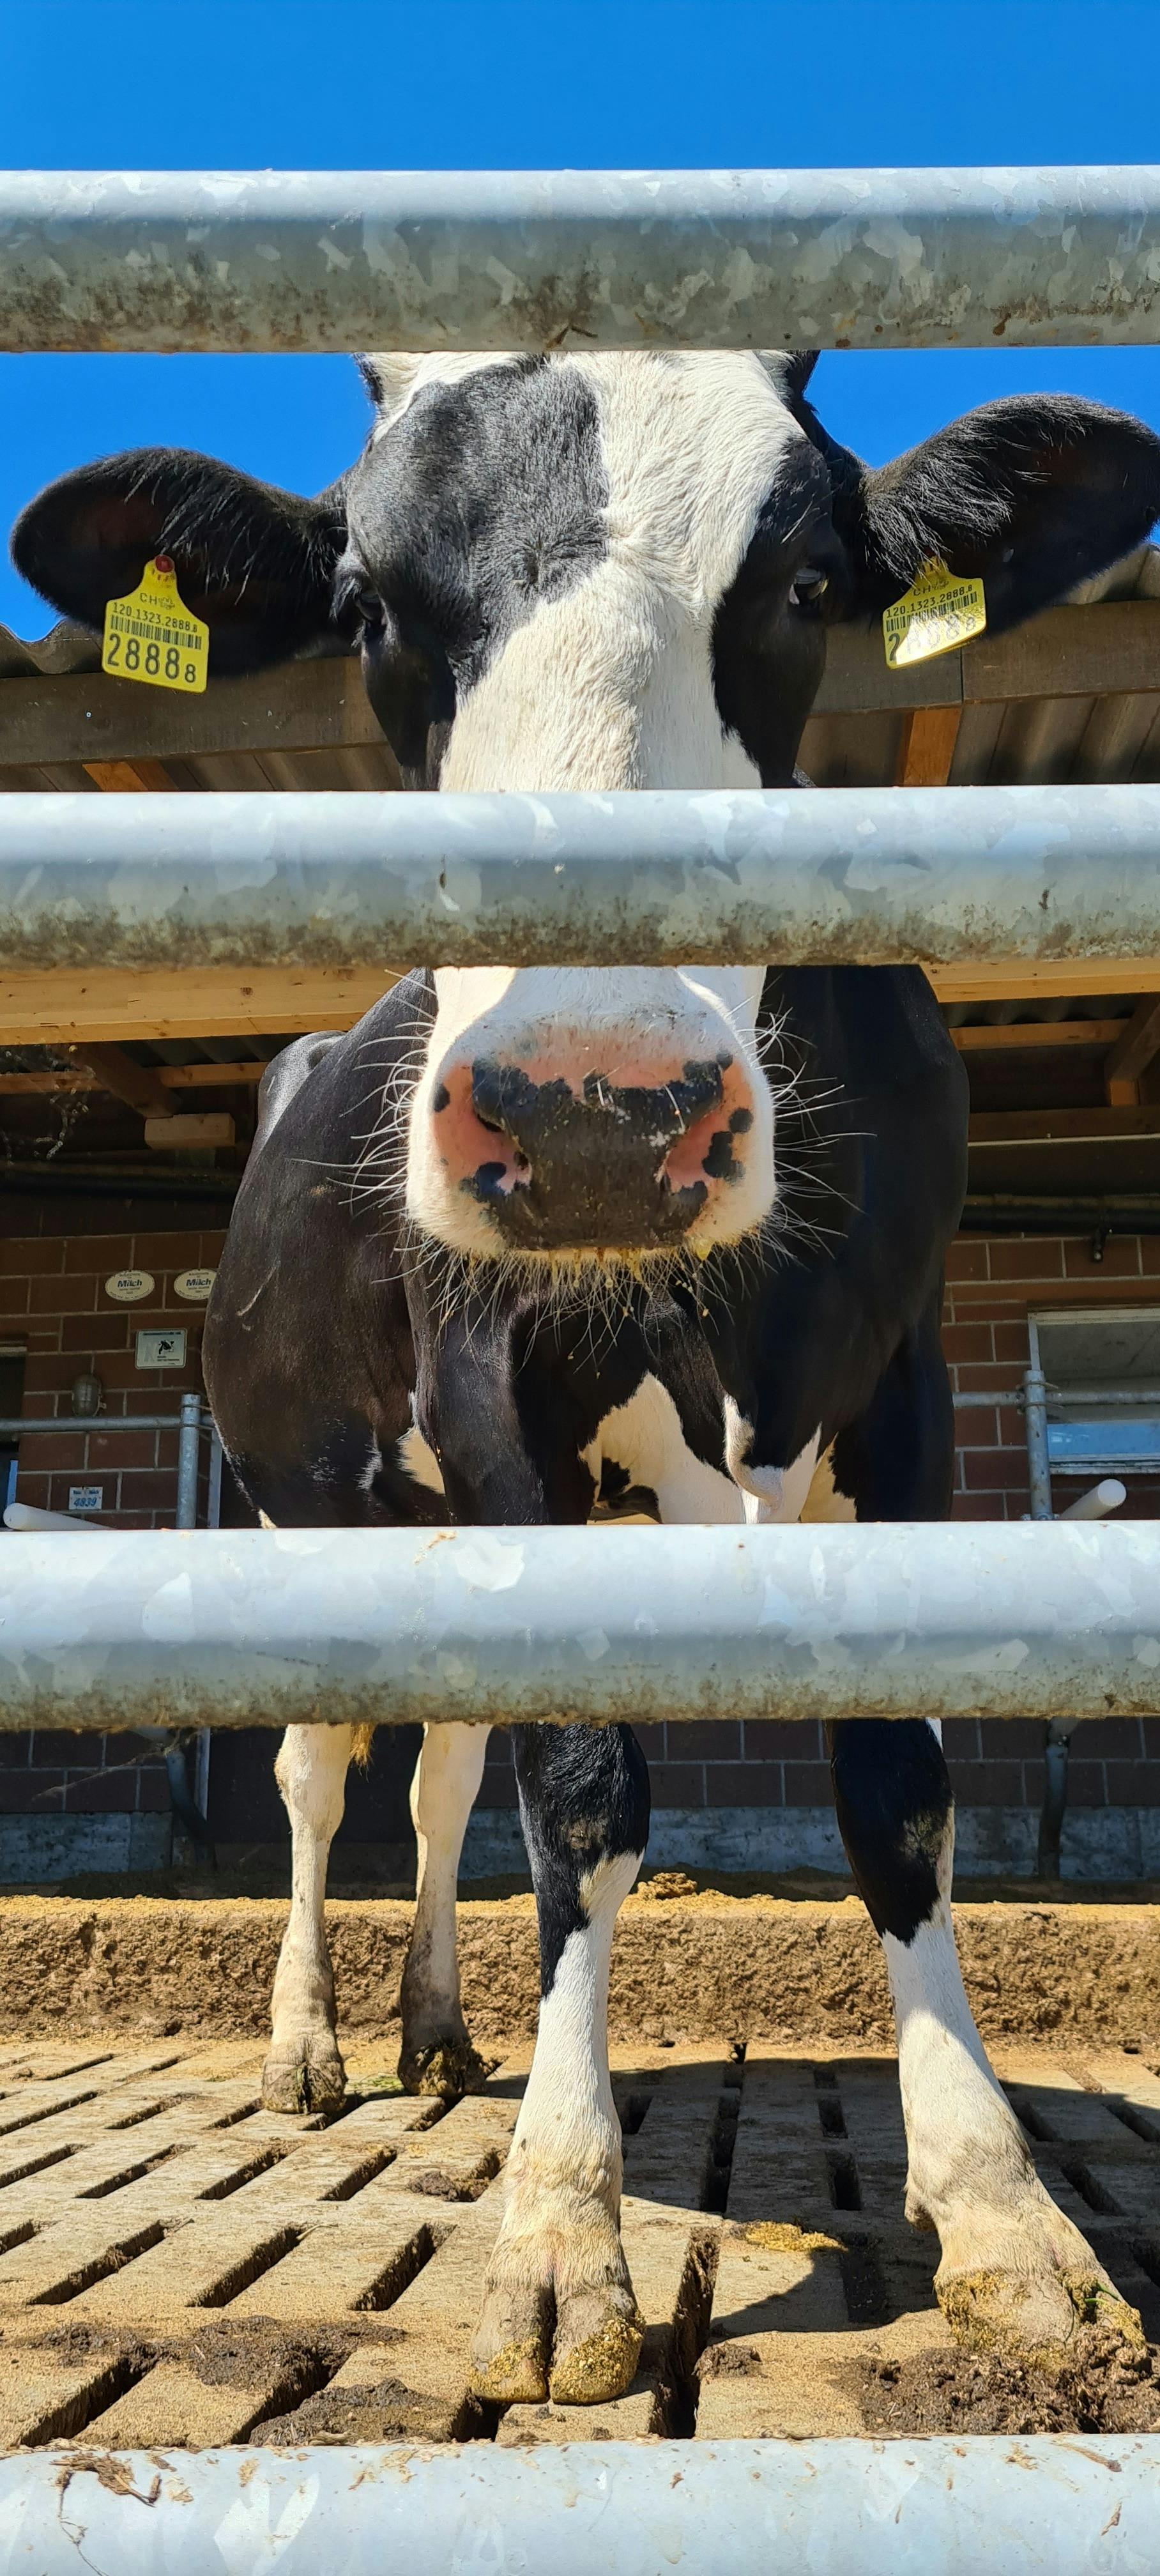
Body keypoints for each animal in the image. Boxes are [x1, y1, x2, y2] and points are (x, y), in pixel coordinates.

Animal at [13, 351, 1160, 2405]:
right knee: (322, 1776)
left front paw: (1003, 2216)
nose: (593, 1112)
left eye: (806, 585)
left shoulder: (910, 1395)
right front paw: (561, 2238)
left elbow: (894, 1785)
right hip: (314, 1517)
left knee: (439, 1775)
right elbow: (582, 1802)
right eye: (371, 605)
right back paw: (311, 2047)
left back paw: (437, 2030)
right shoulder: (493, 1405)